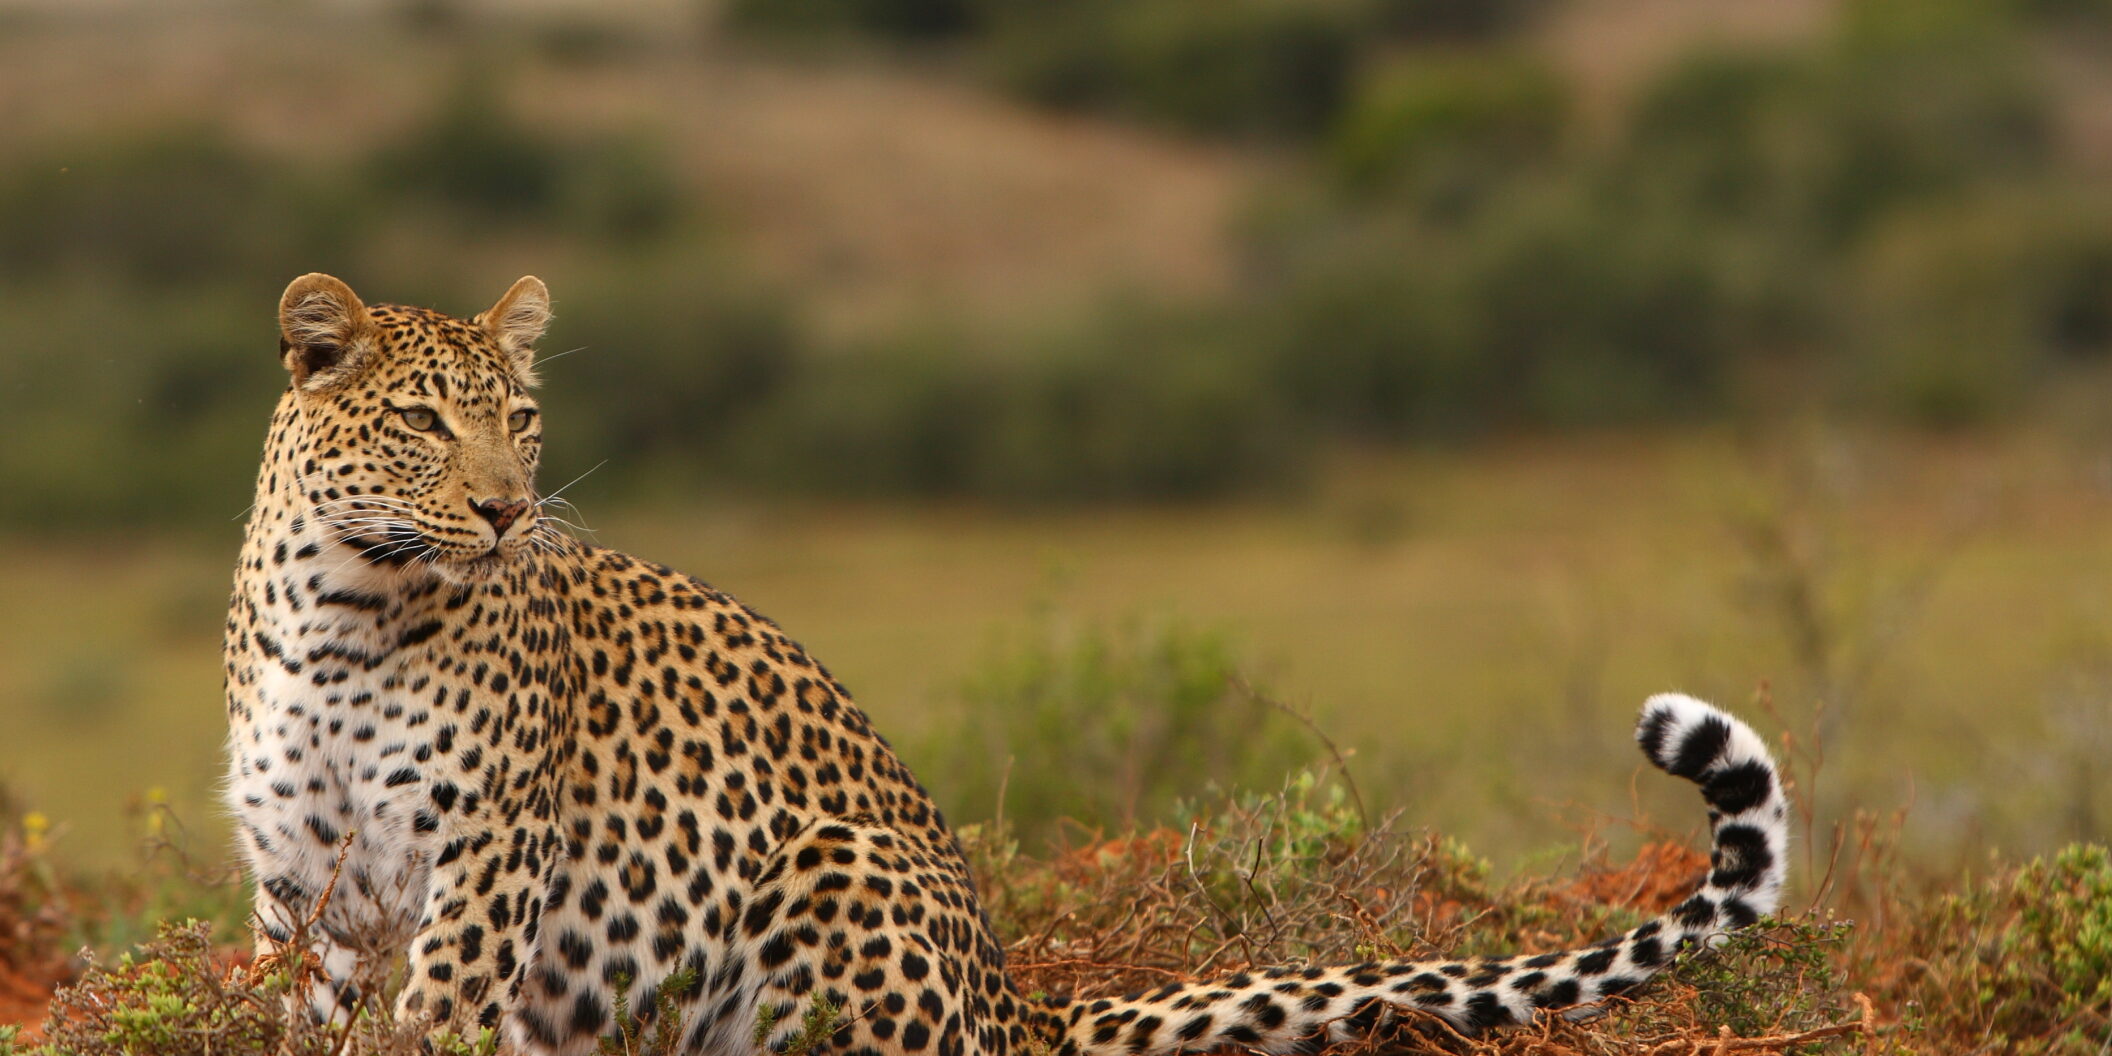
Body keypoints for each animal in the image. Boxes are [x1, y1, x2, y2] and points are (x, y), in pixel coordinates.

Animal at [224, 272, 1792, 1056]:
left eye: (525, 418)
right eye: (426, 422)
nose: (508, 509)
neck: (349, 610)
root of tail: (1013, 992)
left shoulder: (484, 855)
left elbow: (437, 1015)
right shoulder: (297, 877)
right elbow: (304, 1014)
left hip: (834, 874)